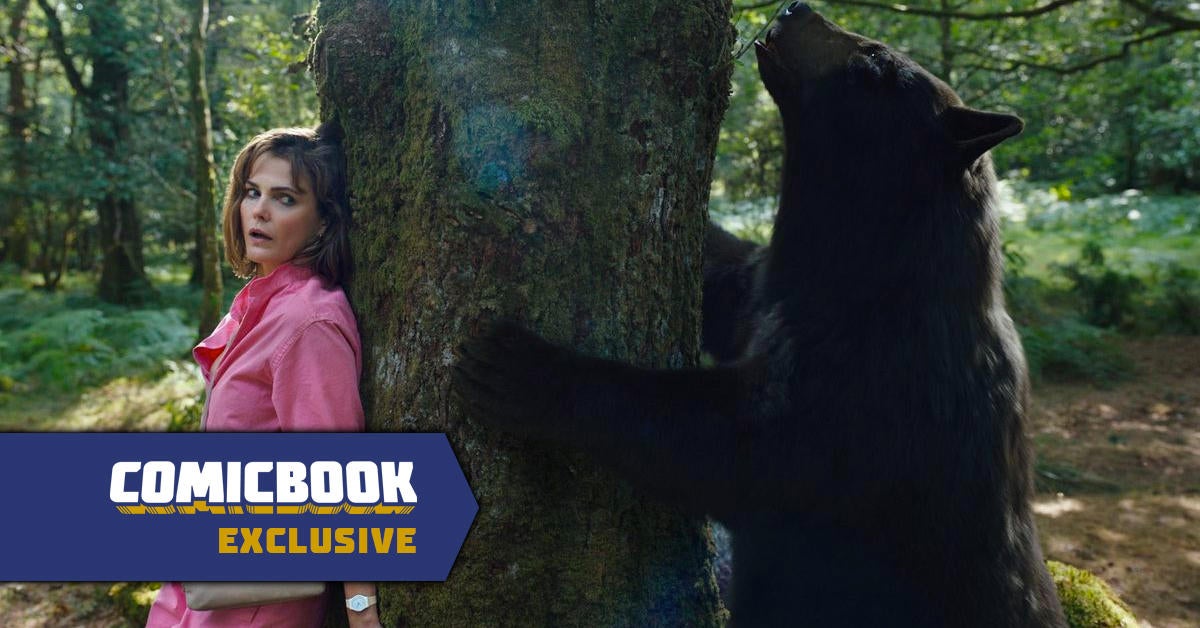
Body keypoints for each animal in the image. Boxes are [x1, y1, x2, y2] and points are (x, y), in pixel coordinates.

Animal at [452, 3, 1067, 626]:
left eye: (874, 61)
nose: (795, 8)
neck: (867, 273)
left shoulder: (874, 393)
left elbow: (728, 447)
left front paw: (525, 370)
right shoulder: (768, 290)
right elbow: (725, 279)